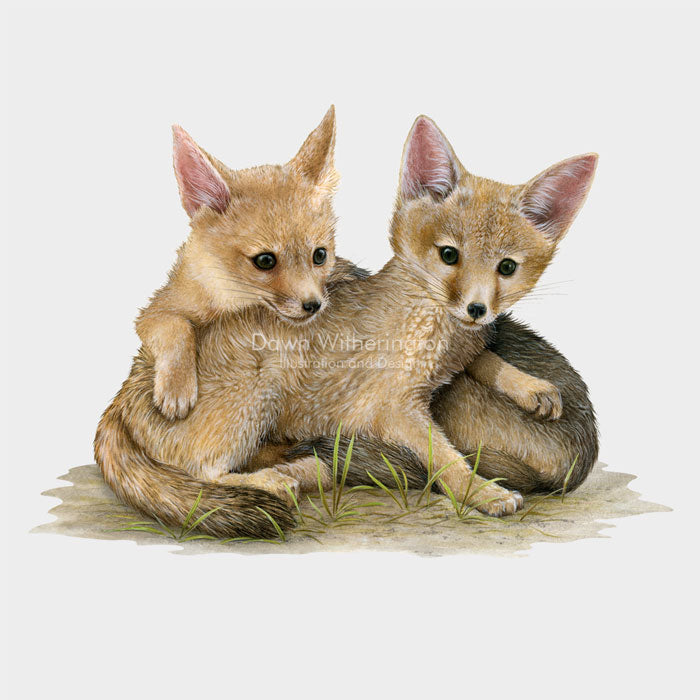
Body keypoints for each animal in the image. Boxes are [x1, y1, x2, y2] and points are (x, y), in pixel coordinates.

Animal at [96, 113, 597, 539]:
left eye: (507, 268)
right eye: (449, 255)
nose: (477, 310)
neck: (435, 332)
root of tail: (120, 401)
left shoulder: (445, 371)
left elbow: (485, 362)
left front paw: (528, 386)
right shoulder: (394, 408)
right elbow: (444, 456)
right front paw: (482, 491)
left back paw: (296, 465)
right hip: (257, 395)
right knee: (202, 474)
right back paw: (274, 480)